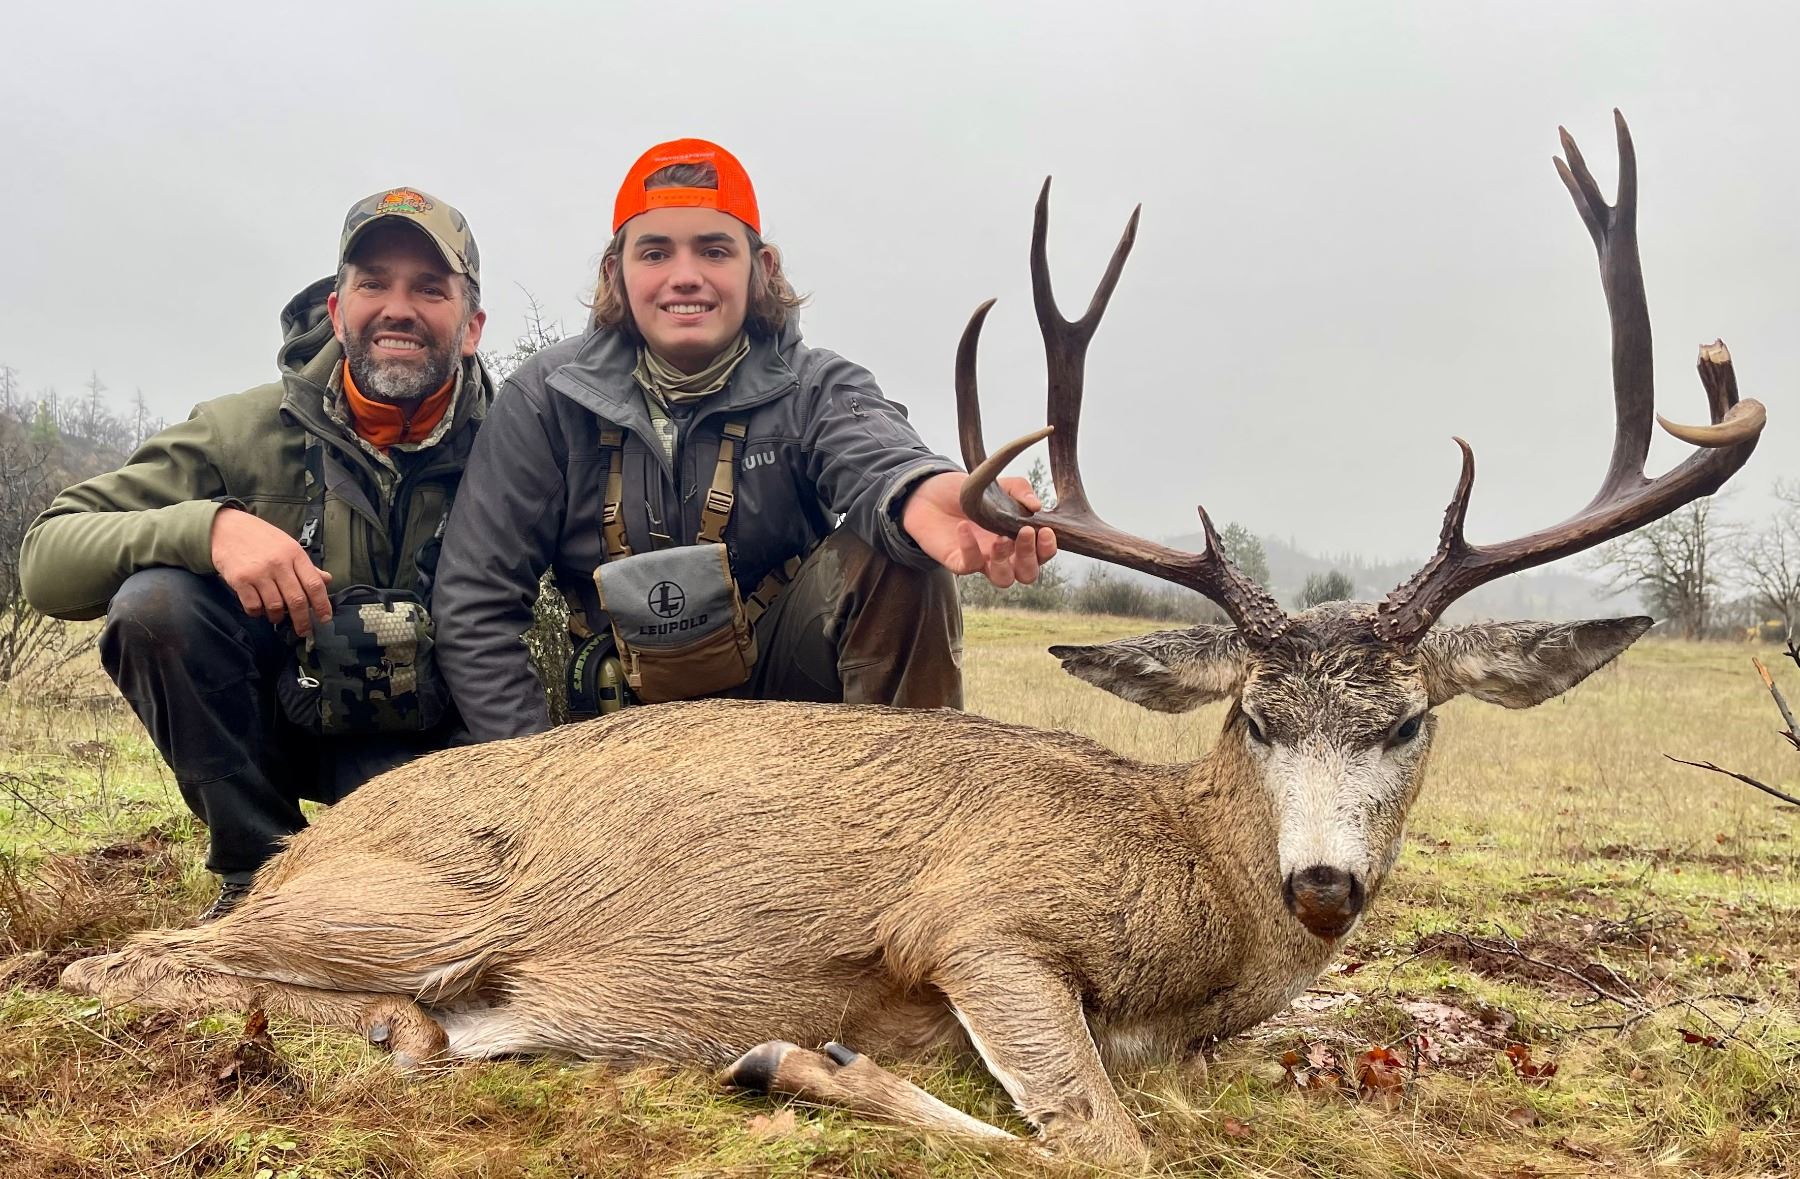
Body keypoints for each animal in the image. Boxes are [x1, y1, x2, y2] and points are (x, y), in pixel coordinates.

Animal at [60, 113, 1763, 1164]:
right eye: (1257, 717)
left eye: (1407, 718)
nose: (1326, 882)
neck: (1188, 908)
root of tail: (311, 842)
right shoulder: (977, 920)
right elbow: (1101, 1139)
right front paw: (802, 1060)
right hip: (396, 898)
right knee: (131, 956)